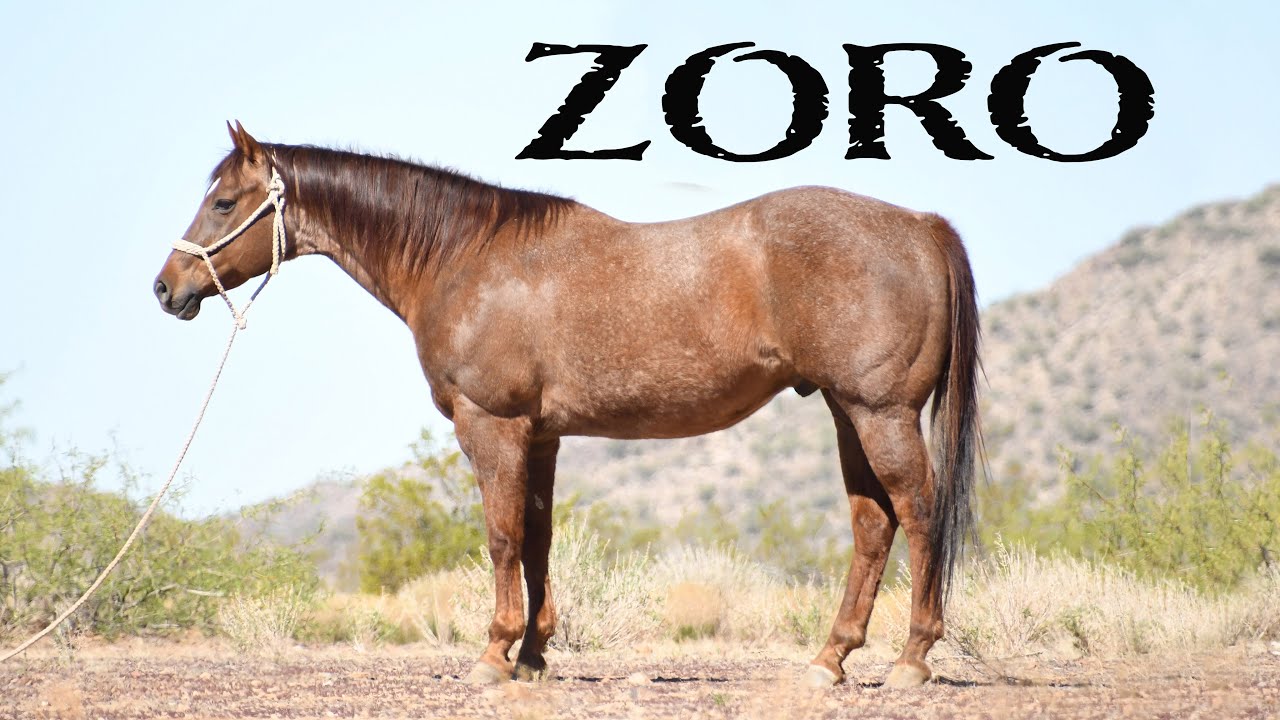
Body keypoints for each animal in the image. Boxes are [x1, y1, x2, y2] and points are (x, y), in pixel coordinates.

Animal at [153, 122, 982, 689]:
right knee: (873, 524)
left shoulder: (492, 427)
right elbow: (538, 540)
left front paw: (493, 654)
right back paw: (829, 660)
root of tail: (920, 226)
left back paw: (911, 661)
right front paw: (533, 654)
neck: (464, 258)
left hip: (880, 412)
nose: (167, 288)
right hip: (848, 412)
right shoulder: (541, 436)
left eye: (224, 201)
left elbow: (500, 539)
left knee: (916, 511)